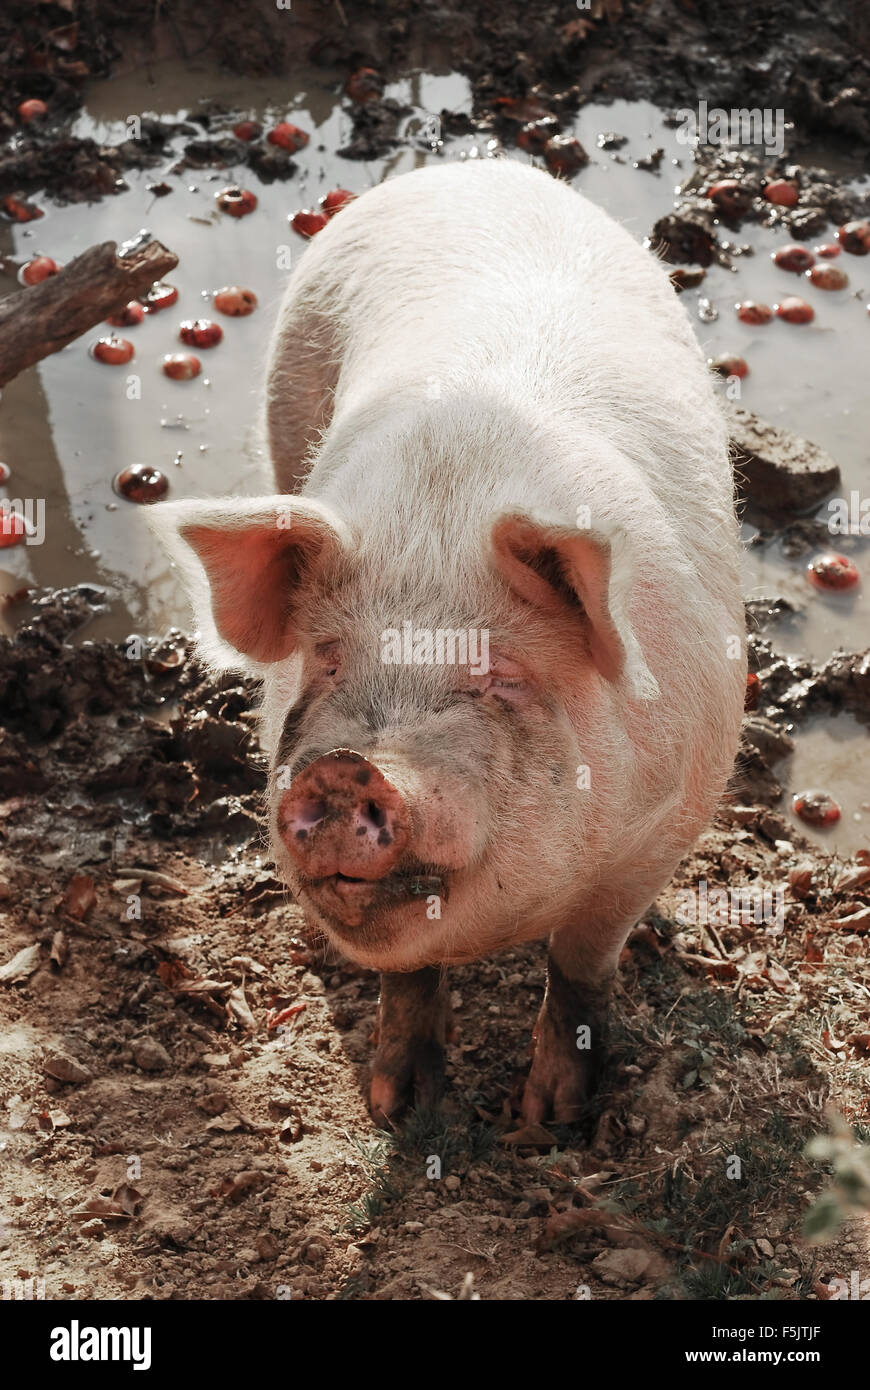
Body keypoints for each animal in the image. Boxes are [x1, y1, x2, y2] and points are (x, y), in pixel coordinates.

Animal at [152, 158, 746, 1126]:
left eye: (499, 674)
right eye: (328, 657)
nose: (345, 765)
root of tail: (477, 165)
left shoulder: (668, 821)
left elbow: (582, 963)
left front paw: (550, 1119)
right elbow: (409, 975)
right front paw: (397, 1106)